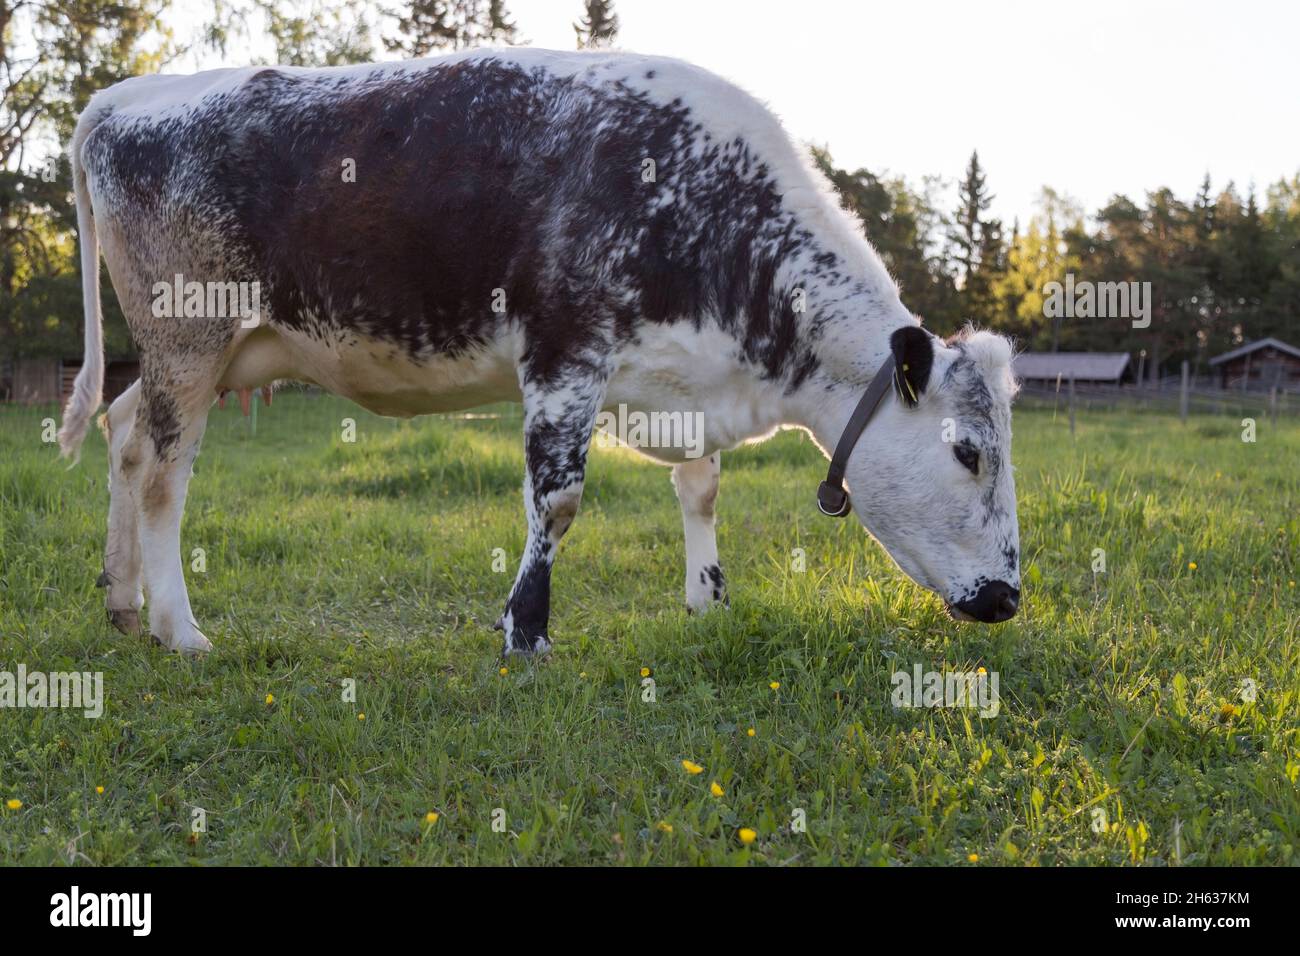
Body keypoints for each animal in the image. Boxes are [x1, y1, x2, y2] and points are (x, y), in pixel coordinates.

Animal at [58, 48, 1021, 658]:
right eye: (969, 453)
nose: (1009, 597)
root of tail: (131, 94)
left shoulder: (682, 385)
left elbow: (702, 487)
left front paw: (707, 603)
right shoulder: (564, 355)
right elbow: (556, 503)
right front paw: (527, 629)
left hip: (199, 357)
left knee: (123, 434)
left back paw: (121, 603)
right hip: (190, 338)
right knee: (162, 473)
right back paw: (180, 630)